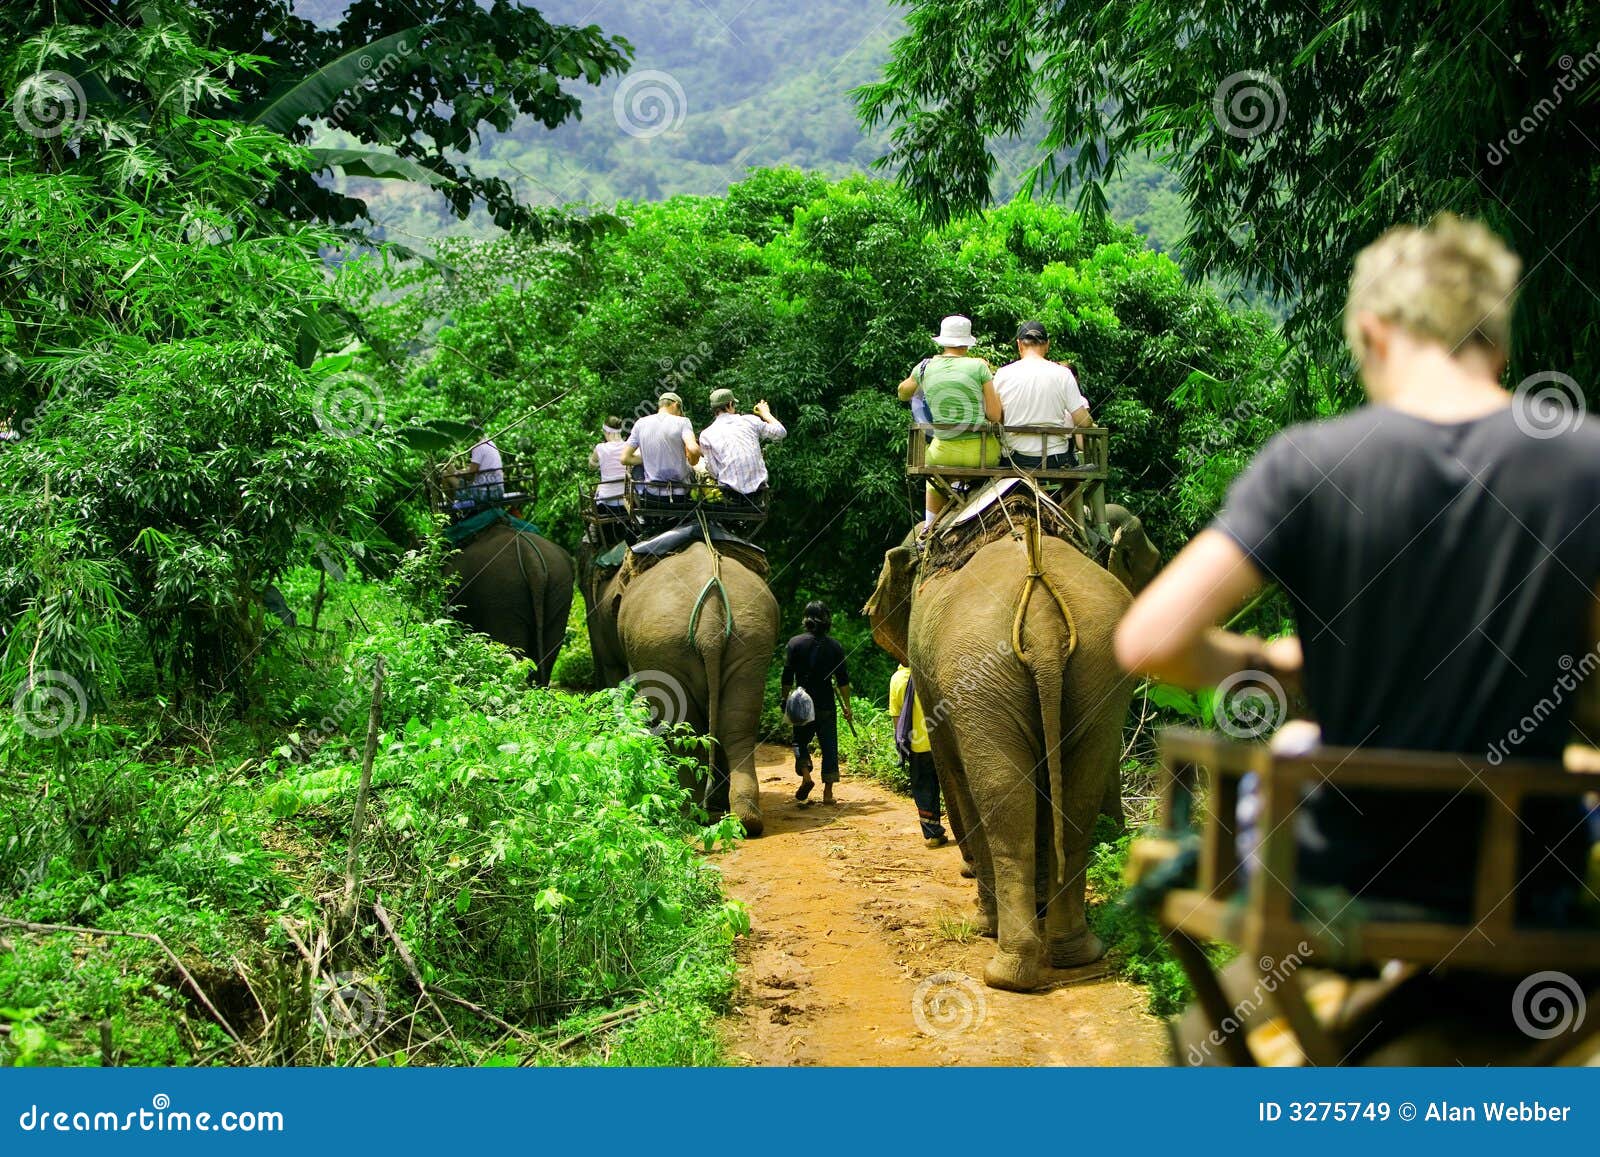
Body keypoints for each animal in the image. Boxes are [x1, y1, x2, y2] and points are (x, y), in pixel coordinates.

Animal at [581, 540, 779, 836]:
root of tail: (709, 623)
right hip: (752, 642)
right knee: (736, 726)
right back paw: (745, 819)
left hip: (664, 648)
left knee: (683, 729)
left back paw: (688, 813)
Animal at [864, 502, 1160, 991]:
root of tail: (1040, 612)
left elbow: (954, 776)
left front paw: (986, 921)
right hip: (1099, 669)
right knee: (1075, 803)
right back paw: (1073, 952)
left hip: (979, 676)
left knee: (1002, 805)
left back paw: (1006, 970)